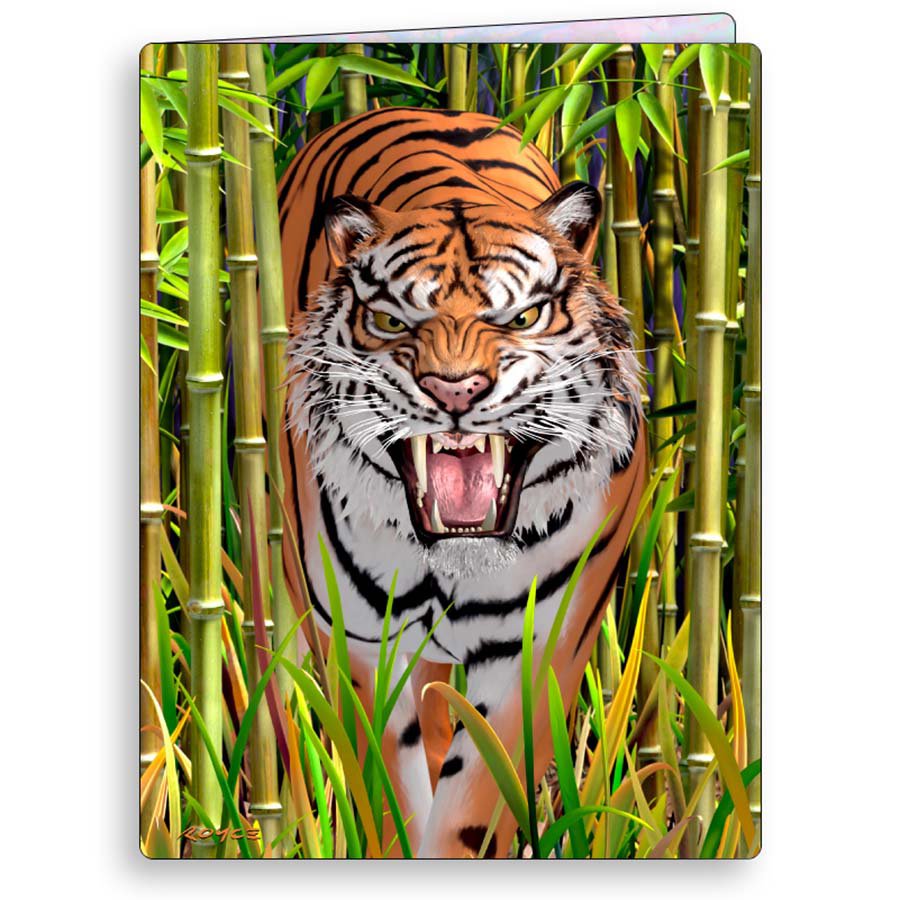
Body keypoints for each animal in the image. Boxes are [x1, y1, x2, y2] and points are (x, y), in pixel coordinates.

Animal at [277, 106, 645, 858]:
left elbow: (472, 807)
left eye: (524, 317)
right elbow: (388, 794)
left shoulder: (534, 655)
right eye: (391, 321)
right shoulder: (363, 646)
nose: (455, 389)